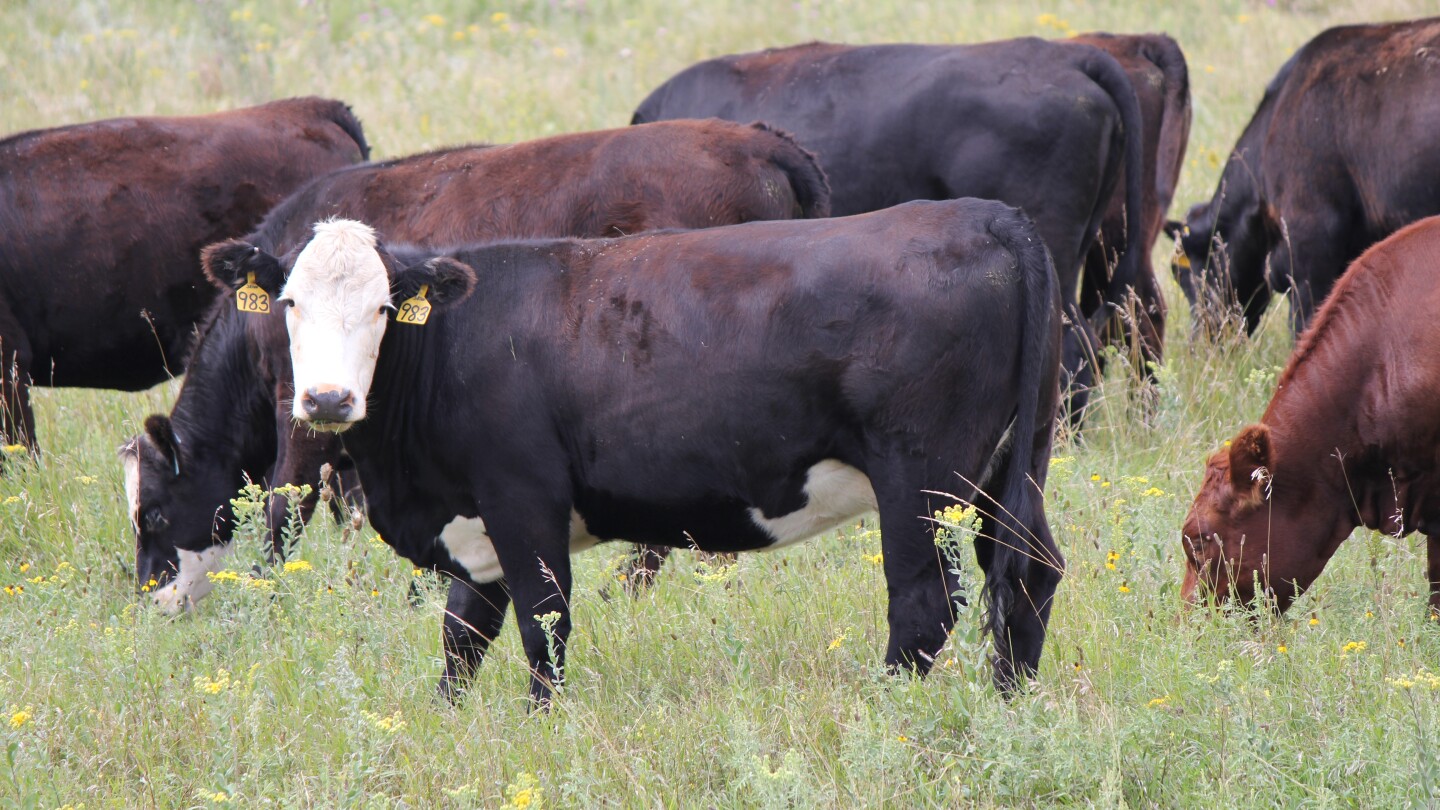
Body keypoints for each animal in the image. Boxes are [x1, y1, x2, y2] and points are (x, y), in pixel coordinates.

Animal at [121, 119, 832, 603]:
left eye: (152, 513)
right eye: (291, 300)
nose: (154, 600)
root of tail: (765, 141)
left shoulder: (303, 401)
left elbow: (283, 507)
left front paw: (271, 593)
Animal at [204, 199, 1062, 703]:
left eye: (385, 308)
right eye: (289, 302)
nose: (326, 401)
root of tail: (987, 215)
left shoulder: (522, 497)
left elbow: (542, 620)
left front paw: (542, 725)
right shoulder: (477, 524)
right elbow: (462, 636)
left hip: (921, 479)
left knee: (925, 601)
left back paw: (888, 717)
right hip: (1010, 466)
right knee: (1029, 573)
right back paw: (1009, 707)